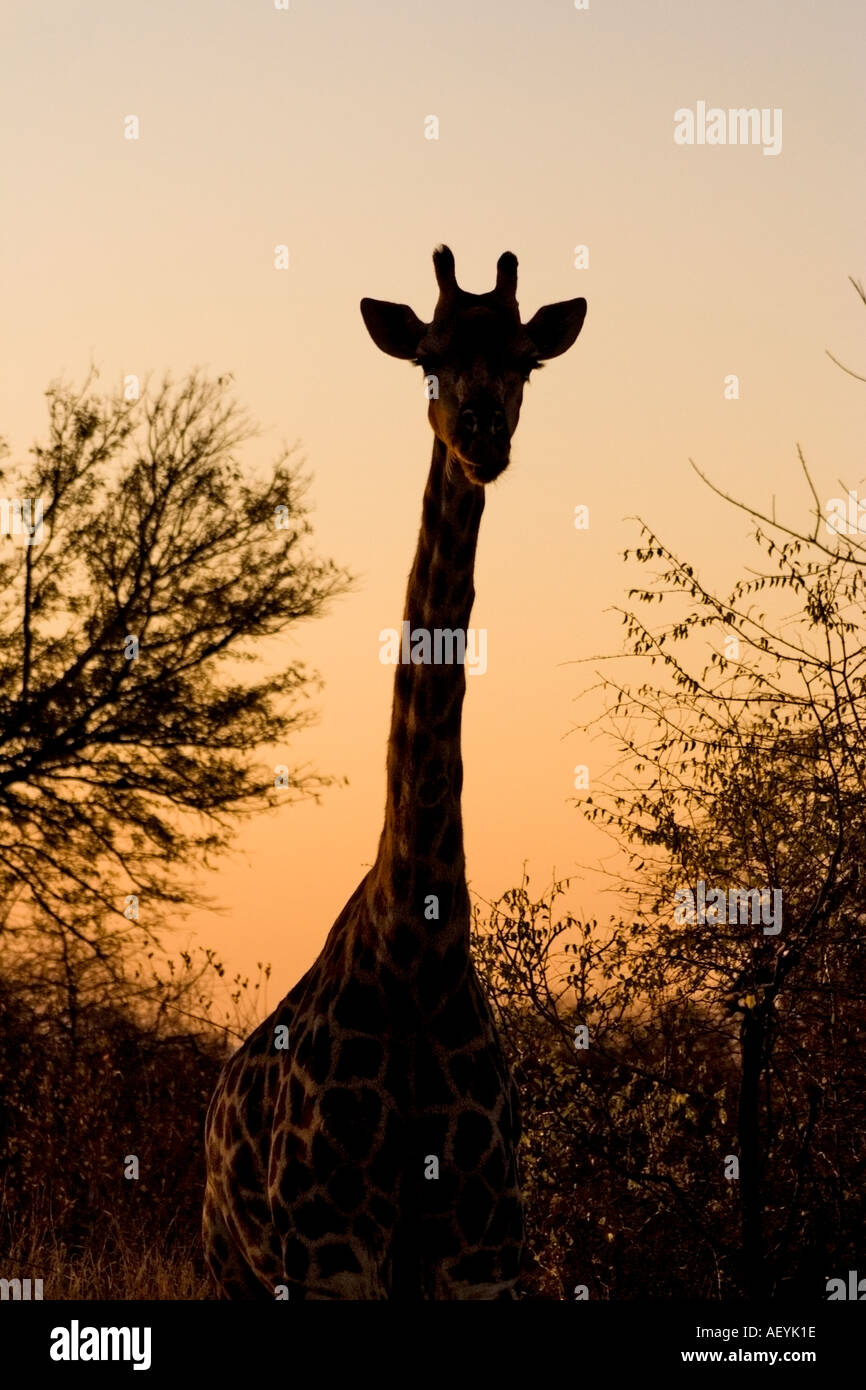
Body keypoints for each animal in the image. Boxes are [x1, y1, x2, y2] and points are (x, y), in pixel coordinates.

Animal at [203, 246, 587, 1300]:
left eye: (527, 363)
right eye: (428, 357)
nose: (481, 432)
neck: (420, 937)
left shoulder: (479, 1252)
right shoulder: (333, 1252)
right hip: (231, 1266)